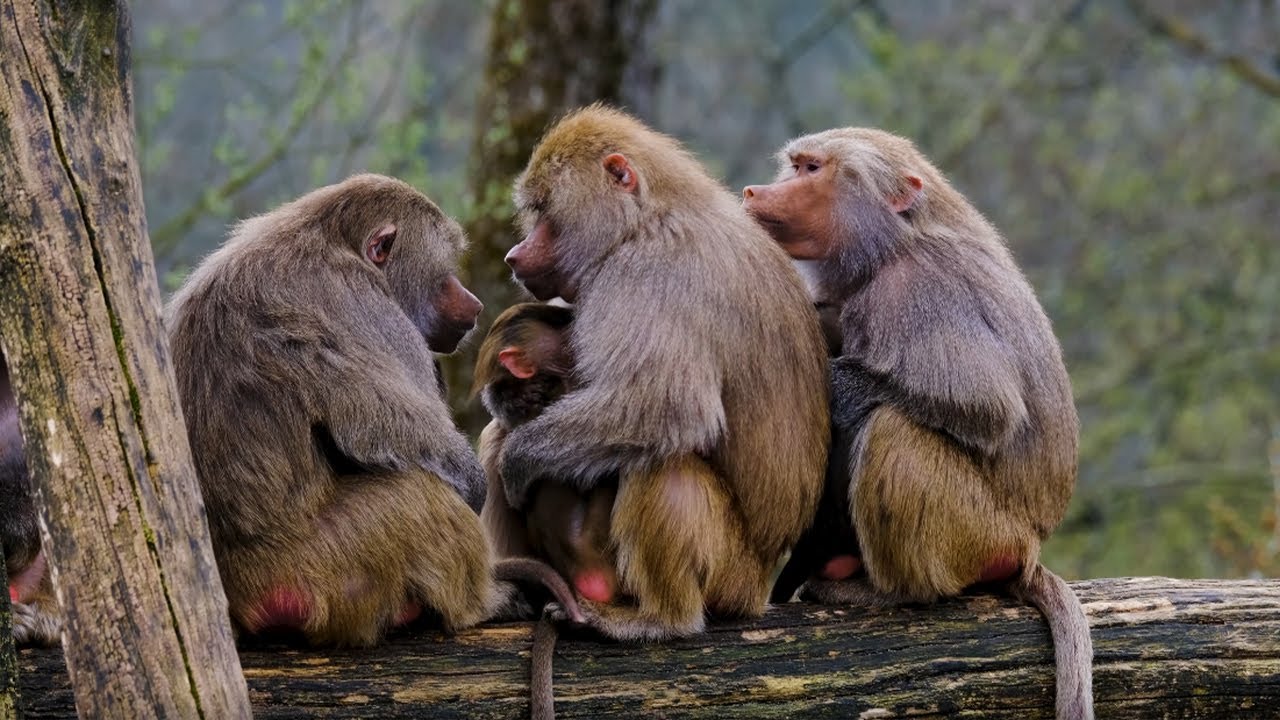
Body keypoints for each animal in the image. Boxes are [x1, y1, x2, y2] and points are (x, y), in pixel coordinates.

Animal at [166, 174, 579, 648]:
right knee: (420, 496)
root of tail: (242, 600)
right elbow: (410, 440)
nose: (473, 306)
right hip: (328, 562)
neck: (328, 236)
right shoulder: (367, 305)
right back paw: (482, 605)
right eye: (443, 270)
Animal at [499, 105, 830, 641]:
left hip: (728, 572)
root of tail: (757, 590)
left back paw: (659, 618)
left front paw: (518, 461)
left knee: (661, 462)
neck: (647, 218)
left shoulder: (649, 274)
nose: (514, 255)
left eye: (544, 212)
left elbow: (668, 408)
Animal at [743, 128, 1093, 720]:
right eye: (795, 165)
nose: (753, 191)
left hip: (980, 533)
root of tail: (1029, 549)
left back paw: (890, 592)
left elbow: (984, 405)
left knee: (892, 431)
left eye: (813, 169)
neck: (894, 242)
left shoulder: (917, 291)